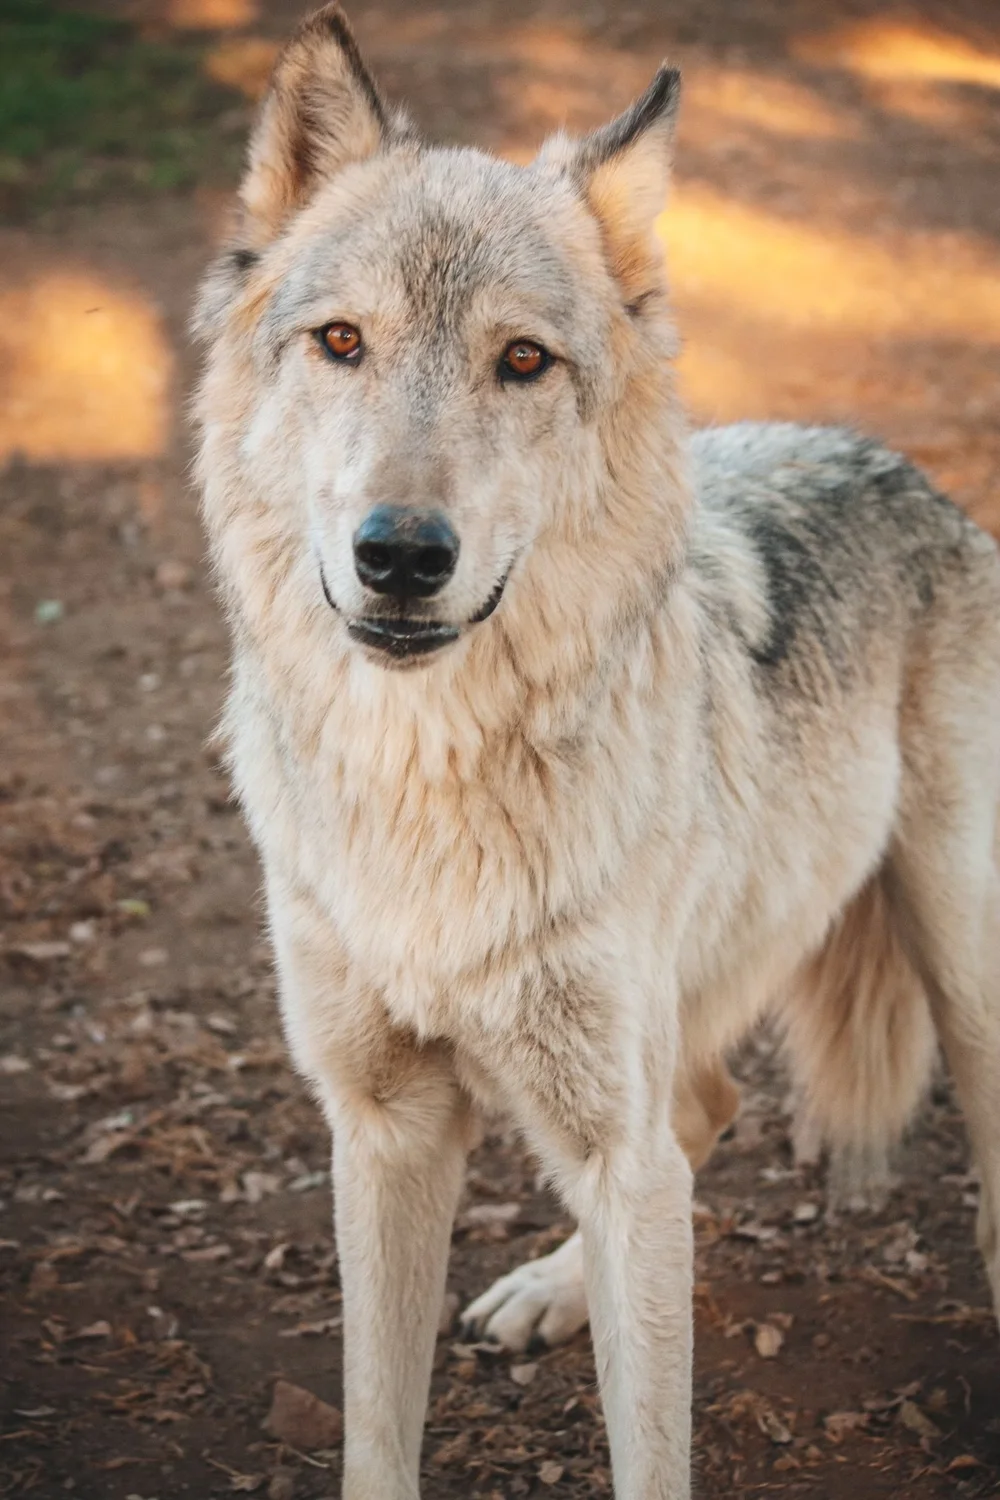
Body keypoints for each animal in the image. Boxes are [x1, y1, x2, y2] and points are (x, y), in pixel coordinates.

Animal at [194, 7, 1000, 1496]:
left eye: (522, 360)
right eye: (340, 341)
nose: (402, 554)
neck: (430, 784)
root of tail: (894, 462)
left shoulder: (602, 1136)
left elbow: (652, 1447)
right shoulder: (383, 1126)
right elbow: (377, 1428)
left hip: (961, 967)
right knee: (709, 1107)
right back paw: (548, 1290)